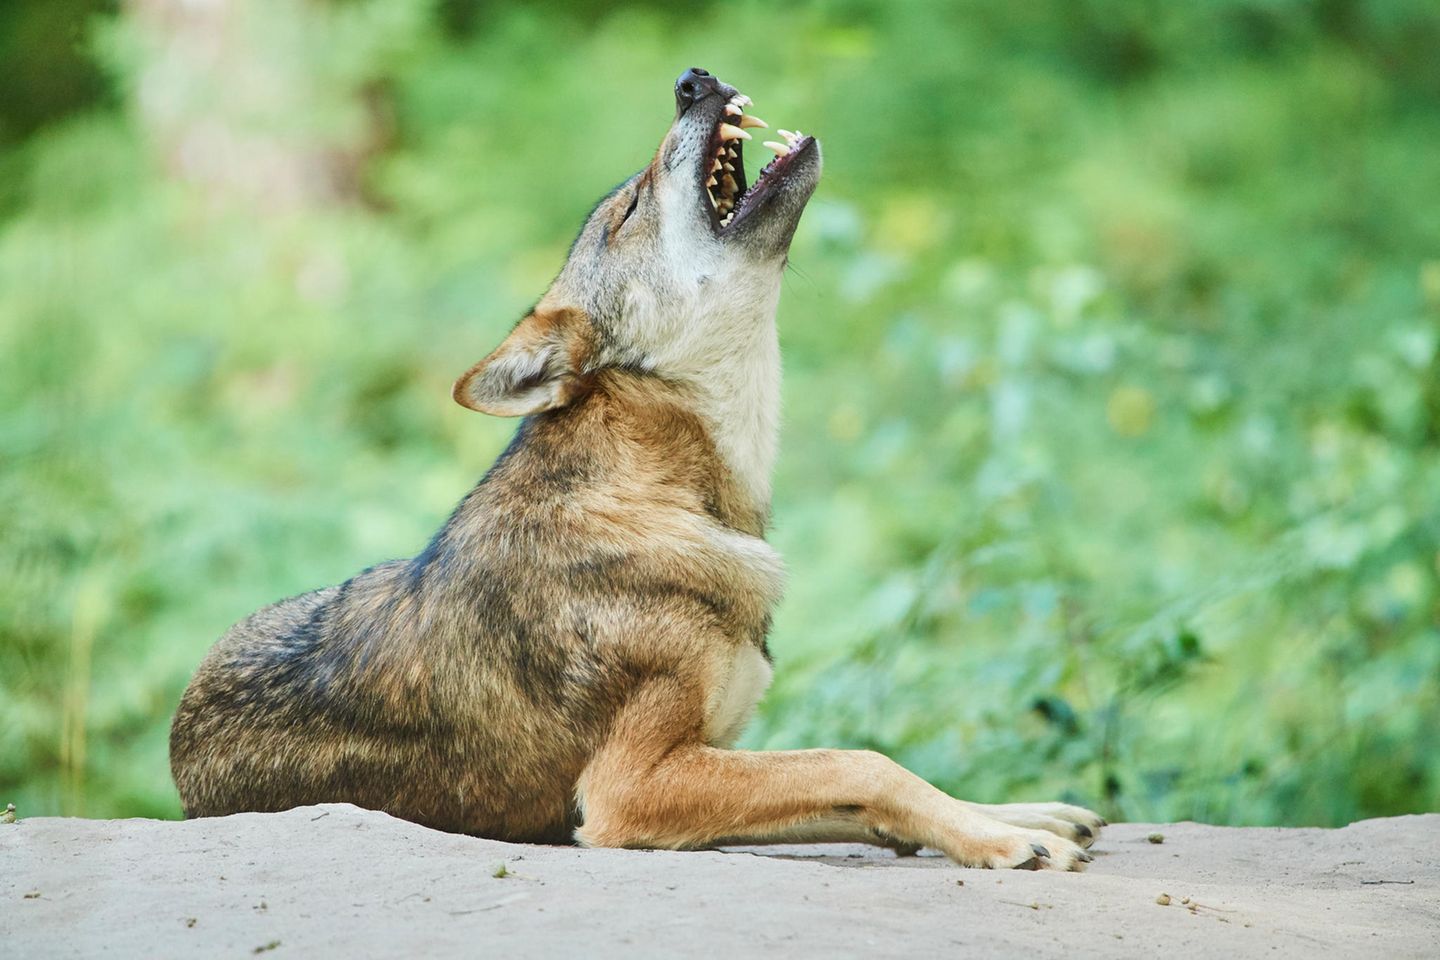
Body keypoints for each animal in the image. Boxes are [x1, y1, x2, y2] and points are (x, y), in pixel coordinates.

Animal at [171, 68, 1103, 869]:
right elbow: (863, 762)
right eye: (625, 211)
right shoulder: (631, 787)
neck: (674, 493)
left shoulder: (708, 756)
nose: (693, 80)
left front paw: (1021, 816)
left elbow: (866, 786)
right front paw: (1006, 841)